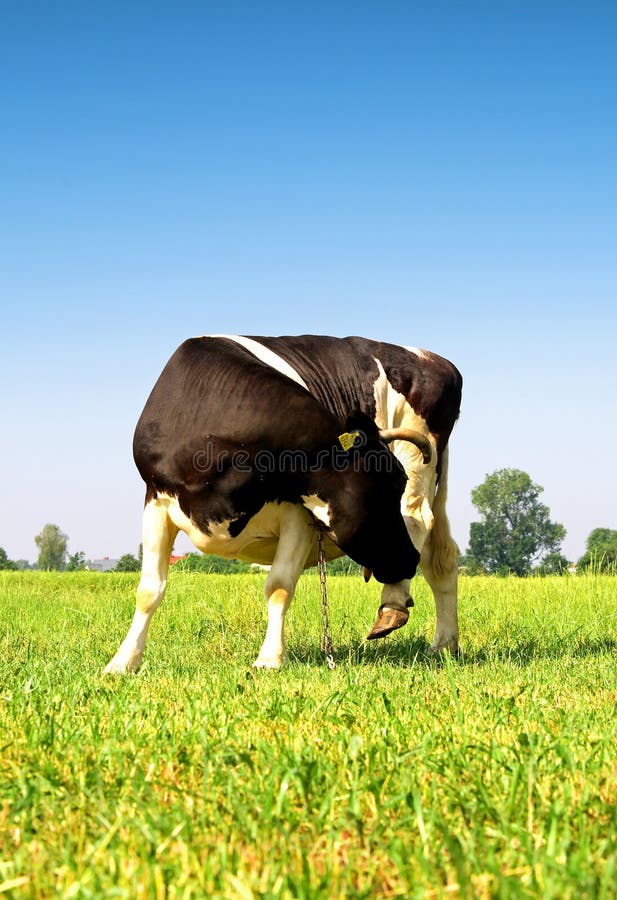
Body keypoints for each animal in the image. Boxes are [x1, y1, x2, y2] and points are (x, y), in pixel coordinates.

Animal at [104, 334, 462, 672]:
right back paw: (444, 645)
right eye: (392, 481)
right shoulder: (156, 501)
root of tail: (435, 359)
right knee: (441, 559)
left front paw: (269, 658)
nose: (407, 560)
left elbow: (279, 586)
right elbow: (149, 590)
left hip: (421, 464)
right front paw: (123, 661)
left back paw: (394, 604)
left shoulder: (300, 513)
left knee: (418, 520)